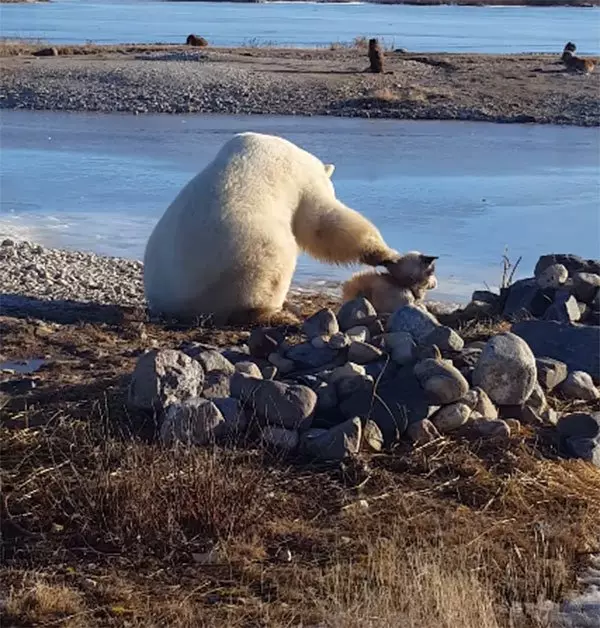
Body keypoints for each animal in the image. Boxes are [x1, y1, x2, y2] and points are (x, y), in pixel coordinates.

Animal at [143, 130, 400, 322]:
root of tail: (177, 303)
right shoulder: (302, 182)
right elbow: (322, 222)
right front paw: (387, 255)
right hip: (247, 252)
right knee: (273, 266)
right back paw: (276, 311)